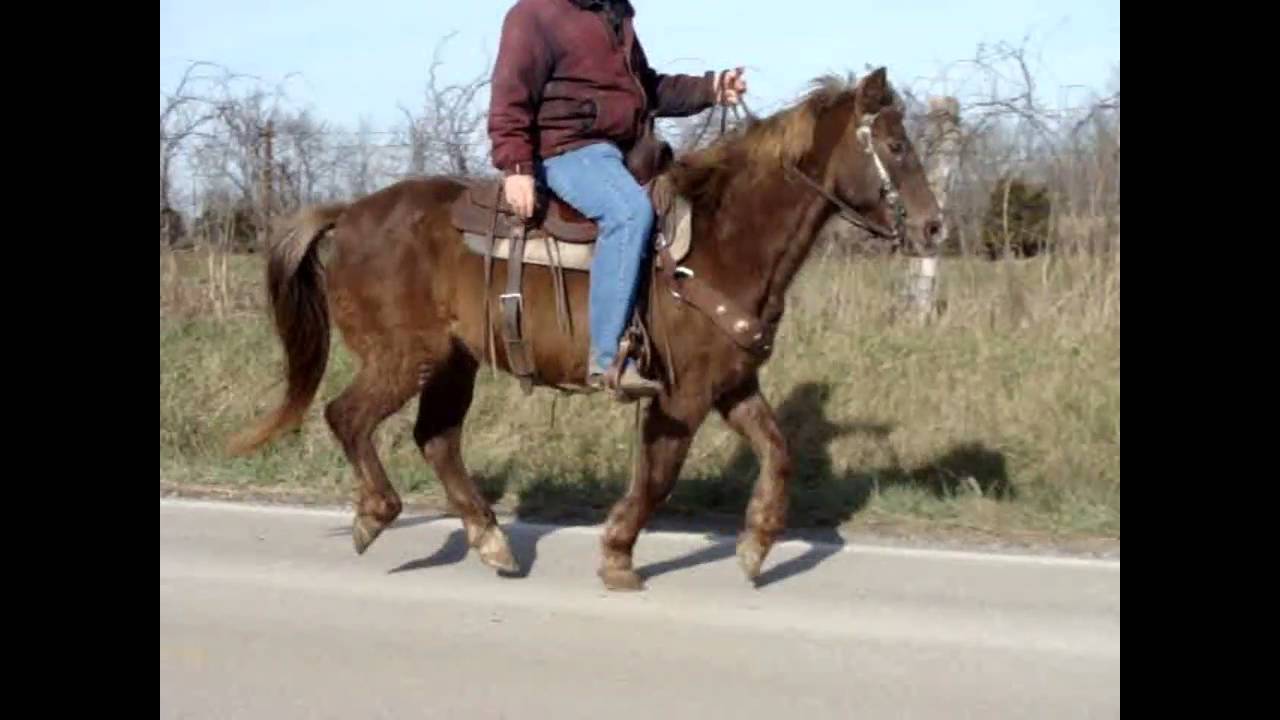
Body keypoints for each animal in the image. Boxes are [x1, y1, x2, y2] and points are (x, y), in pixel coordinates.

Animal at [228, 68, 944, 591]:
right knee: (347, 416)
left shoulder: (734, 384)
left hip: (455, 362)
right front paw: (619, 554)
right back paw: (376, 514)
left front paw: (755, 545)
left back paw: (491, 540)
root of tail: (349, 213)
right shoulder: (681, 396)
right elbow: (658, 475)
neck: (721, 240)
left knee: (436, 439)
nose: (934, 227)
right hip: (406, 357)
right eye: (896, 146)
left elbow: (779, 451)